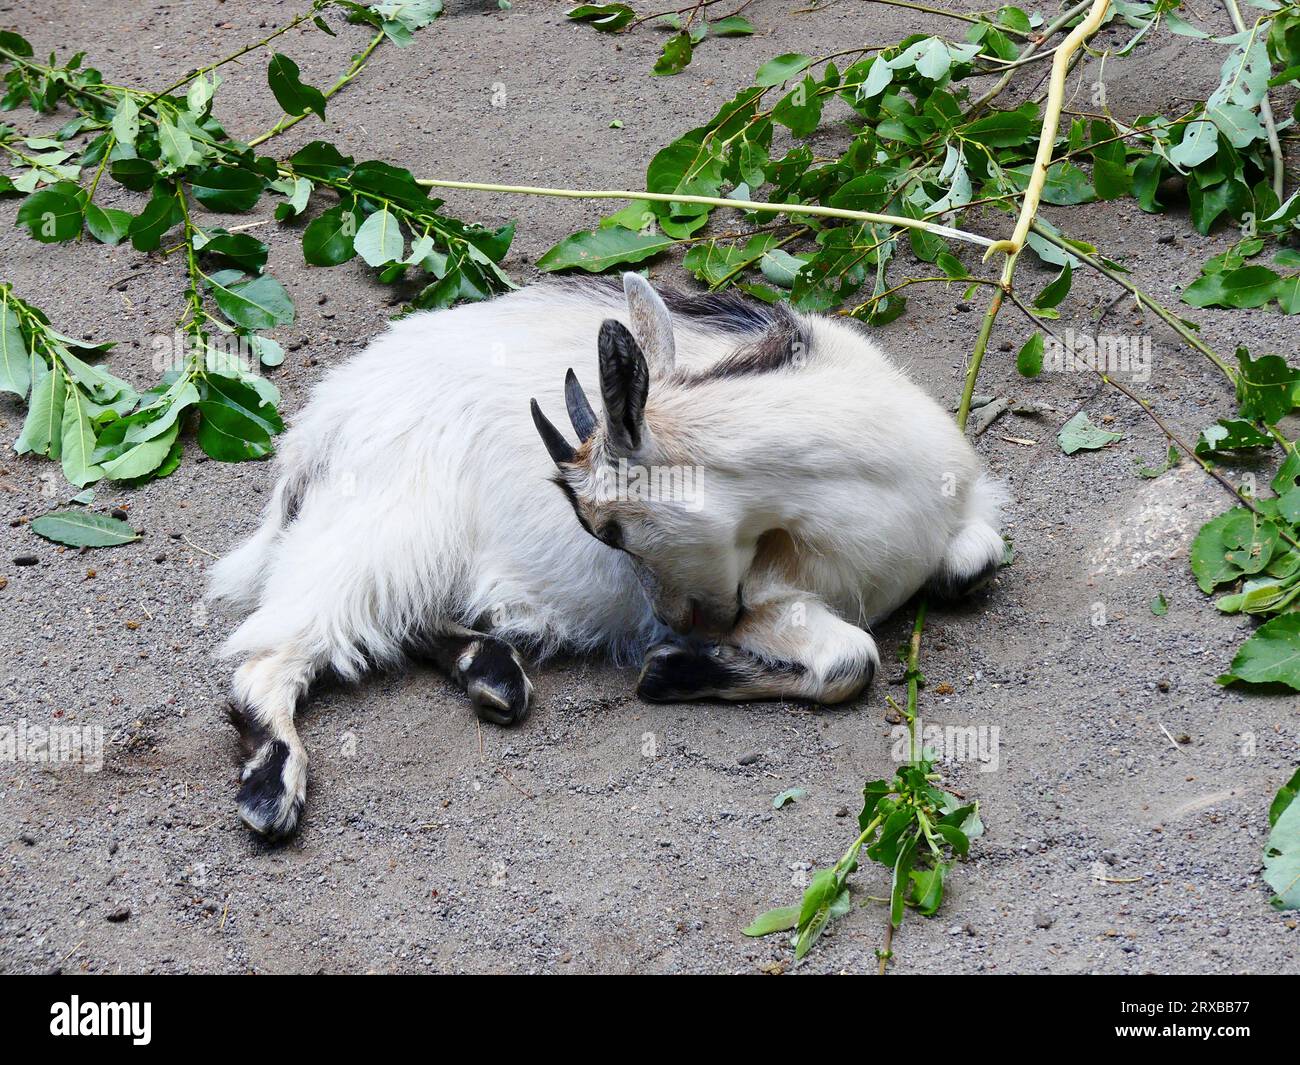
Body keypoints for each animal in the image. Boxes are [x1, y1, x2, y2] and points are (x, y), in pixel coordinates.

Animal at [208, 273, 1005, 839]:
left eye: (610, 529)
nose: (685, 625)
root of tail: (322, 422)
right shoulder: (769, 600)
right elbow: (851, 661)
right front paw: (673, 671)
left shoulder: (963, 523)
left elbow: (974, 565)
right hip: (387, 529)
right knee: (273, 651)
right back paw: (271, 787)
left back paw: (492, 673)